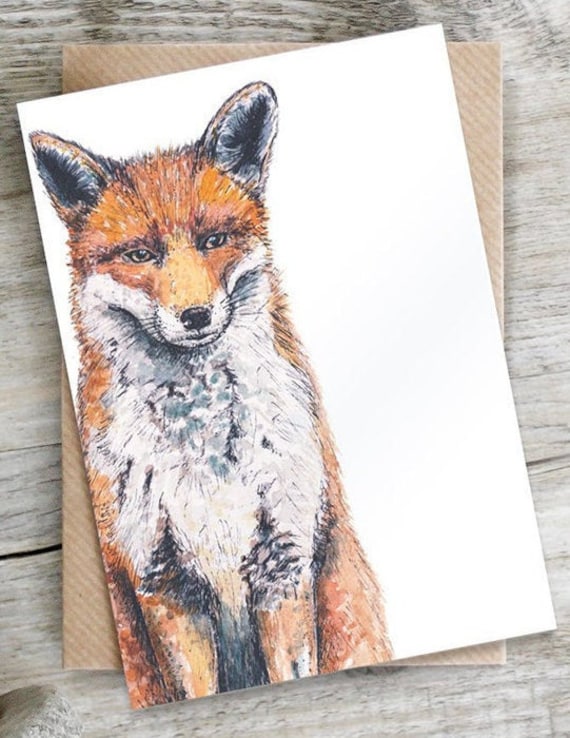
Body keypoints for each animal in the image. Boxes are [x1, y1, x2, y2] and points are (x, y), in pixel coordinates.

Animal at [30, 81, 392, 707]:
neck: (205, 460)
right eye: (141, 255)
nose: (195, 316)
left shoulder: (282, 563)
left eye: (214, 239)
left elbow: (295, 670)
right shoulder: (162, 582)